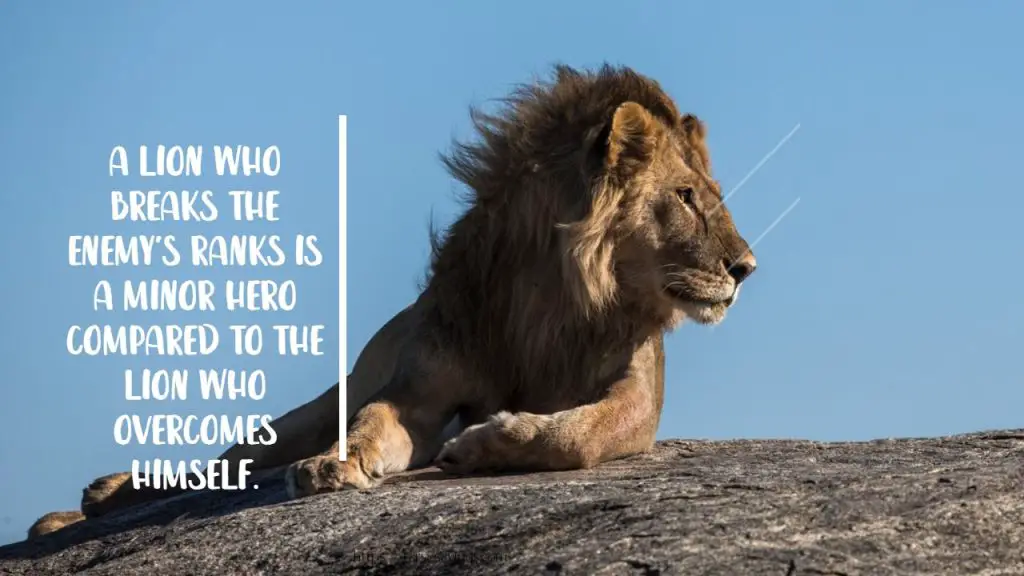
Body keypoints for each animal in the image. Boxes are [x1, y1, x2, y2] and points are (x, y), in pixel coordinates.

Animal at [28, 63, 757, 539]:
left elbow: (580, 434)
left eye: (712, 195)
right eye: (687, 197)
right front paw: (337, 464)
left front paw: (485, 443)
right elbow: (372, 420)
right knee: (225, 463)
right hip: (312, 406)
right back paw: (89, 502)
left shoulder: (639, 397)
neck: (555, 302)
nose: (746, 268)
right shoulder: (419, 388)